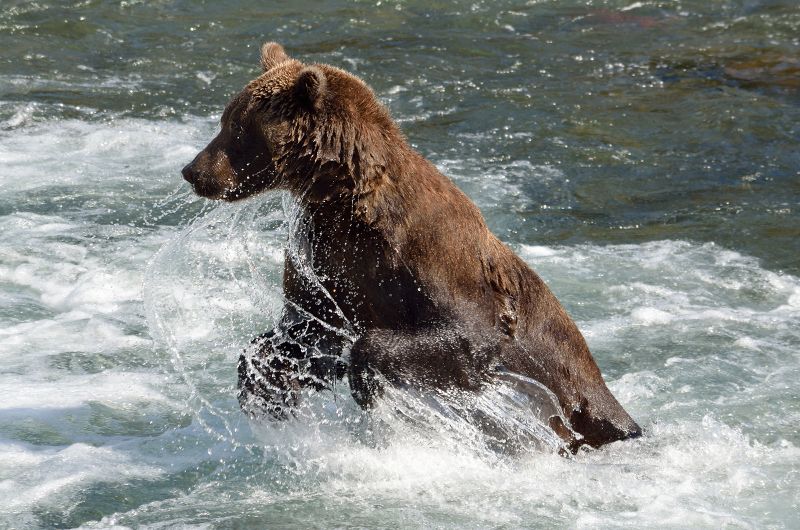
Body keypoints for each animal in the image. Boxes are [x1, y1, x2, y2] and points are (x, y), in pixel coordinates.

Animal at [181, 42, 641, 451]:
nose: (192, 171)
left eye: (237, 127)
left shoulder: (425, 255)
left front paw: (369, 388)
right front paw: (268, 392)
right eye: (226, 118)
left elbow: (467, 332)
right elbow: (309, 334)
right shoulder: (332, 261)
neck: (346, 200)